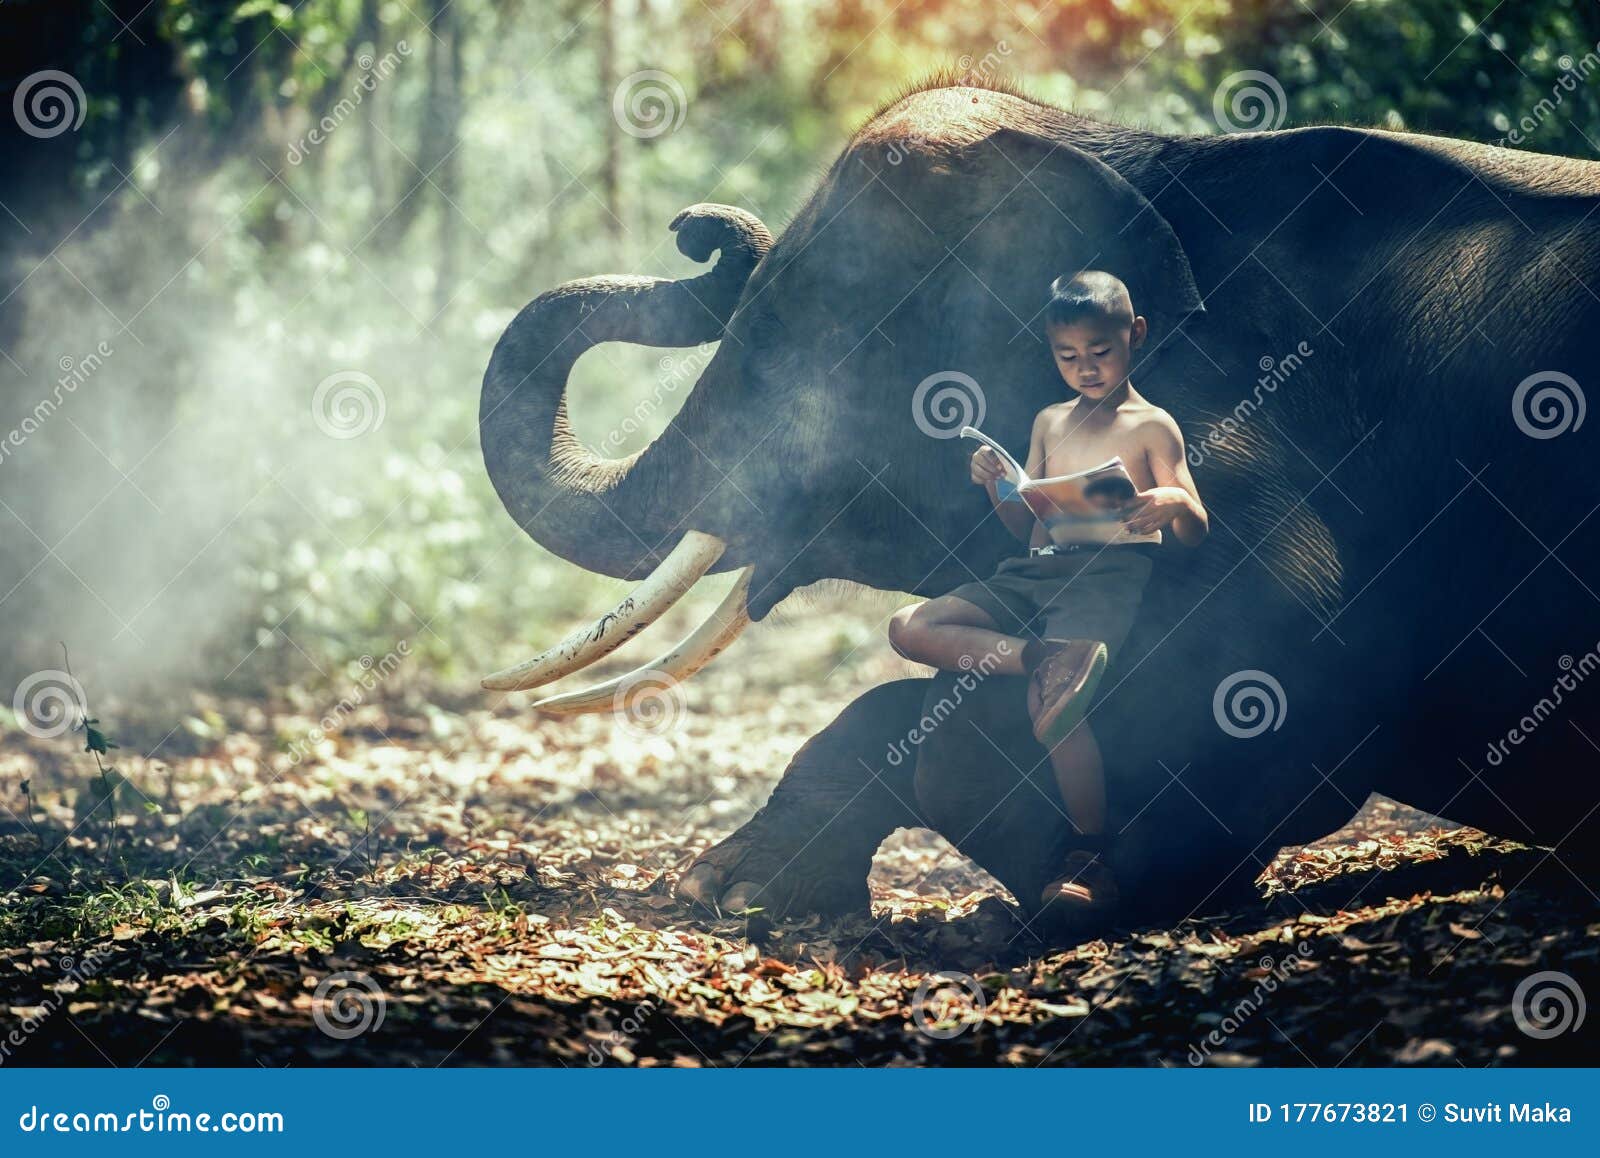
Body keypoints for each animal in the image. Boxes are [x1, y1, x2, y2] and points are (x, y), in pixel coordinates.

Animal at [480, 79, 1600, 931]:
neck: (1150, 171)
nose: (702, 233)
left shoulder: (1252, 446)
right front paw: (730, 889)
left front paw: (1076, 891)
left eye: (800, 353)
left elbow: (1286, 670)